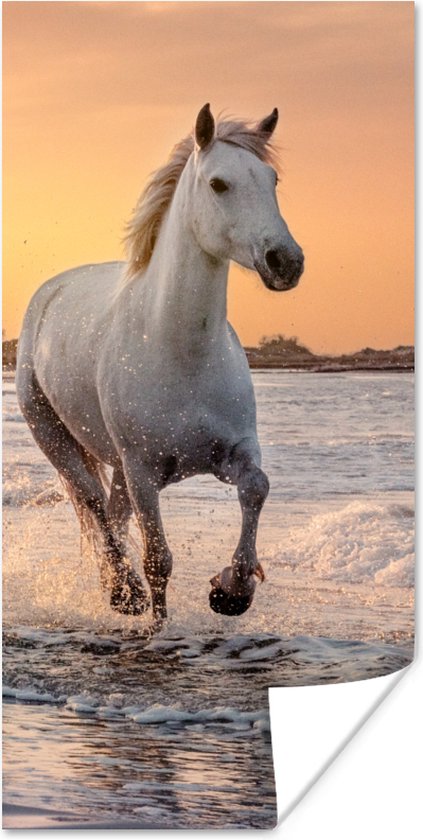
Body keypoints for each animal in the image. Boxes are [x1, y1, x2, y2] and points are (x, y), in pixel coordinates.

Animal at [16, 104, 304, 632]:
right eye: (218, 184)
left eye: (271, 179)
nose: (285, 261)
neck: (181, 352)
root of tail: (50, 292)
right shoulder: (144, 471)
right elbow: (158, 560)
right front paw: (158, 628)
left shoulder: (233, 451)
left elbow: (257, 488)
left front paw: (232, 590)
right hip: (58, 440)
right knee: (96, 506)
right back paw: (123, 593)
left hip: (120, 466)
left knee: (112, 512)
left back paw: (116, 589)